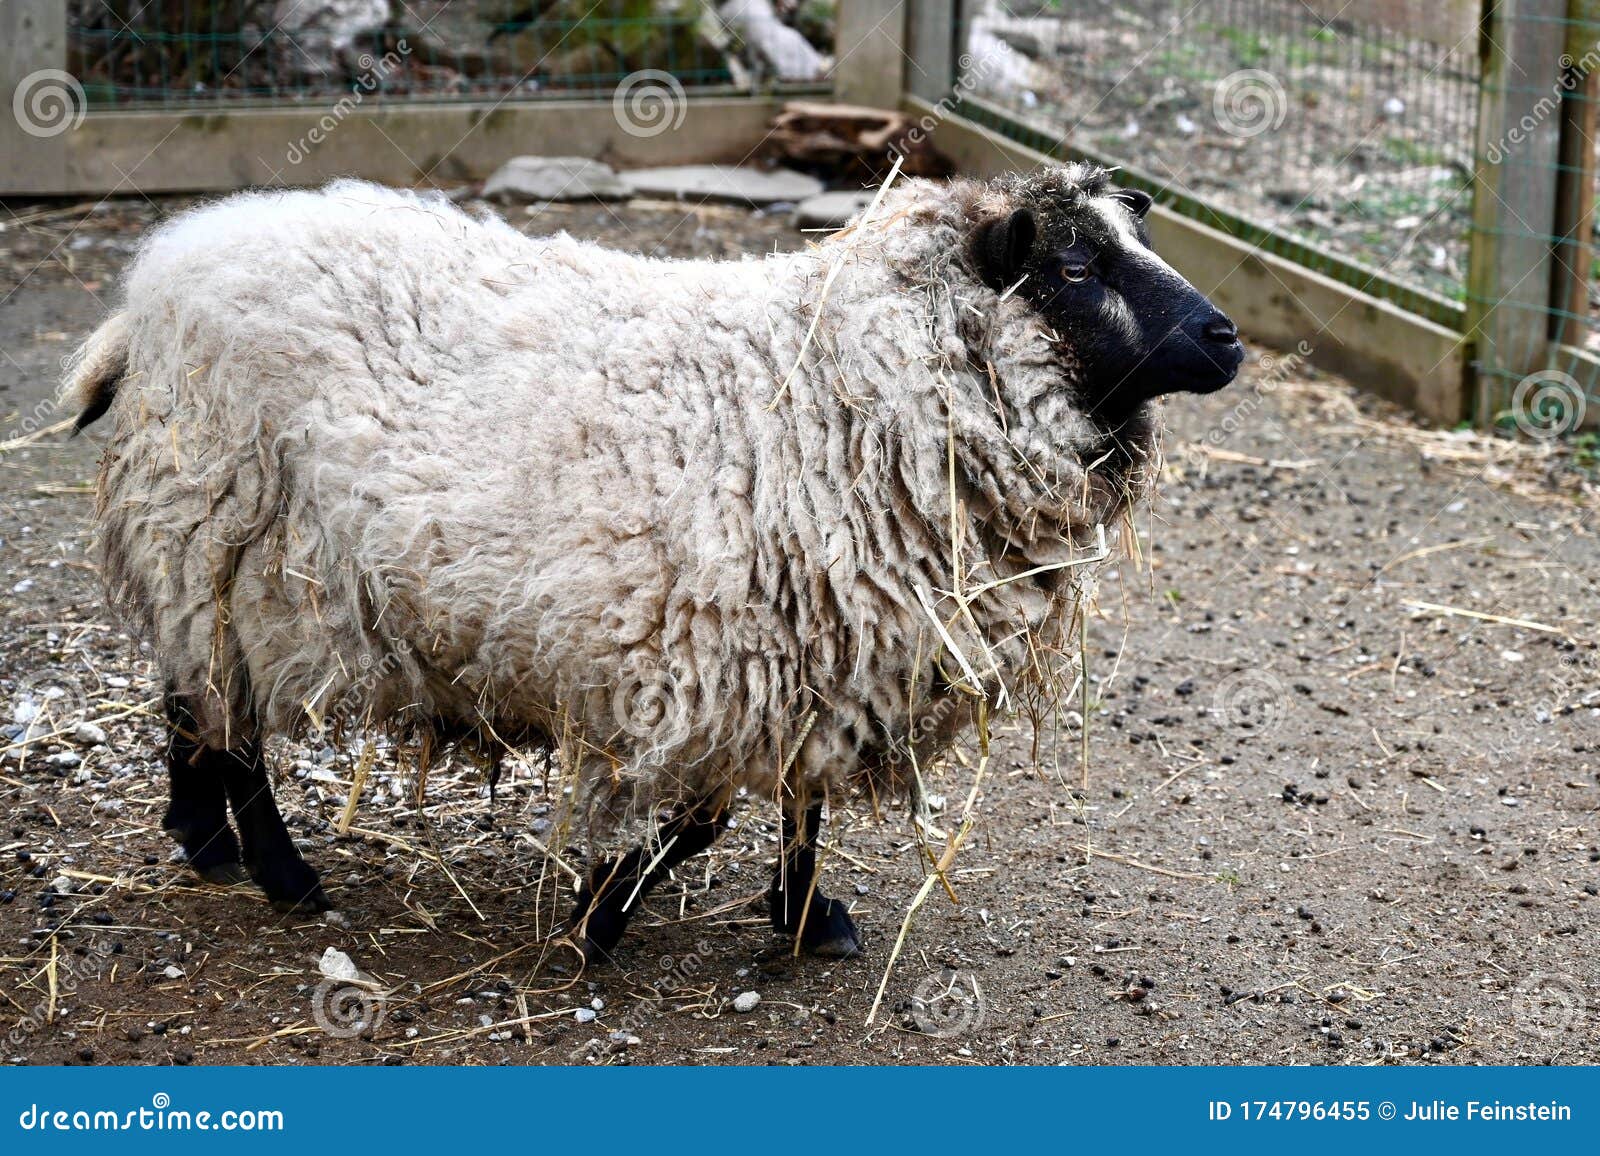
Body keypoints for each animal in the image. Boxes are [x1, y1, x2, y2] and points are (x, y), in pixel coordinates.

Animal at [63, 166, 1241, 961]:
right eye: (1077, 267)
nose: (1227, 338)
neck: (862, 385)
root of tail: (156, 284)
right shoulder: (725, 654)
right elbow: (704, 817)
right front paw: (600, 917)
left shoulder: (824, 650)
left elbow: (797, 809)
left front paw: (801, 918)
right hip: (236, 545)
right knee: (231, 725)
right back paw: (282, 872)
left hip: (198, 550)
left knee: (188, 695)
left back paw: (200, 837)